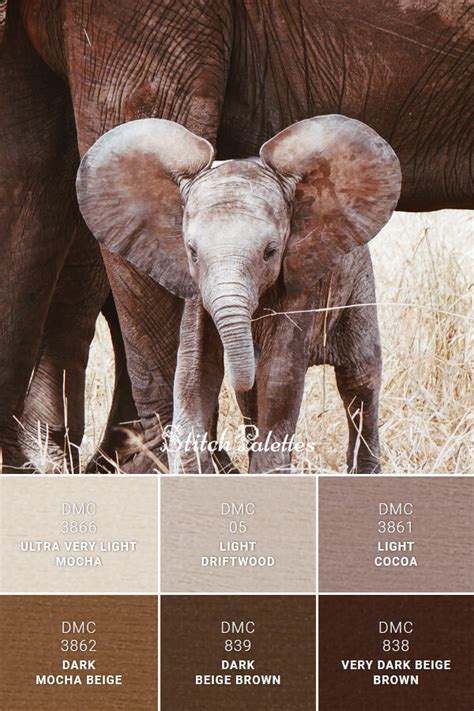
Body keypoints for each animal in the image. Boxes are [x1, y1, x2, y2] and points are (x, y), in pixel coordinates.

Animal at [77, 115, 402, 473]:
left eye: (271, 252)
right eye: (192, 252)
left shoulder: (301, 281)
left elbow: (279, 376)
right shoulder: (197, 296)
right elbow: (193, 374)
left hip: (358, 284)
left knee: (360, 377)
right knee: (251, 398)